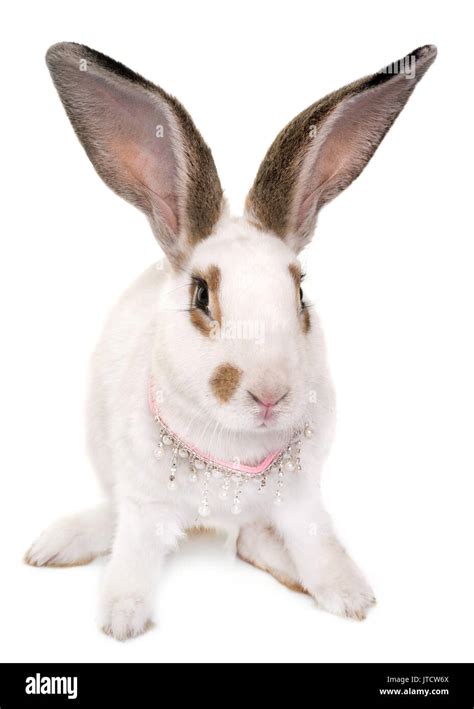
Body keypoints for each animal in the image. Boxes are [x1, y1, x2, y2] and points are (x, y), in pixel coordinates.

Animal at [25, 42, 437, 640]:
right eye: (201, 295)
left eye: (300, 293)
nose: (270, 395)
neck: (232, 452)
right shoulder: (146, 500)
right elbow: (135, 554)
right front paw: (122, 618)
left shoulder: (302, 500)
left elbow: (317, 543)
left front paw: (349, 595)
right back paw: (58, 544)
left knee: (248, 540)